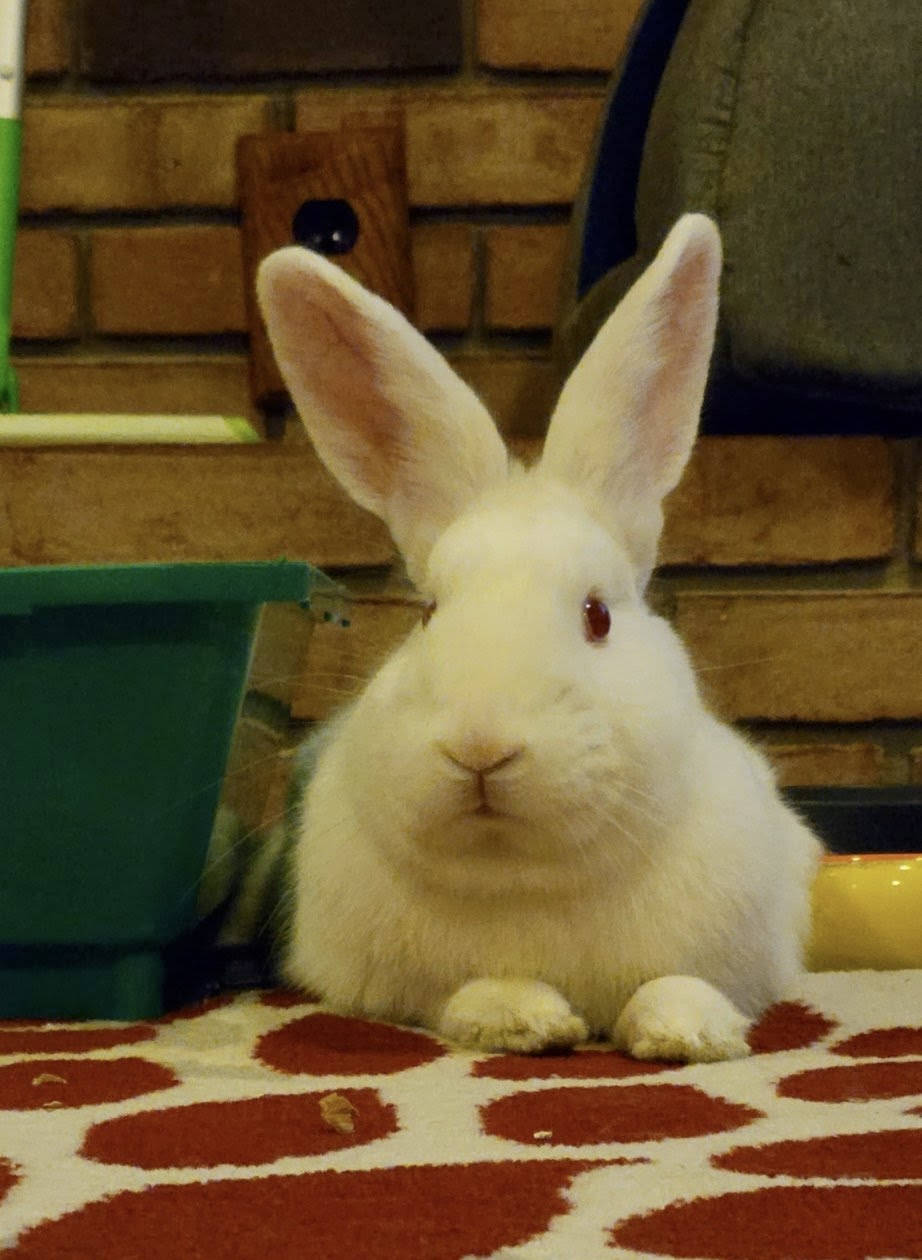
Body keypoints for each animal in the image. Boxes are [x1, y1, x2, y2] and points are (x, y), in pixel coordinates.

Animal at [256, 214, 823, 1063]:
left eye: (598, 616)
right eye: (428, 611)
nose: (481, 747)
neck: (524, 876)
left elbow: (680, 982)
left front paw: (686, 1034)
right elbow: (467, 993)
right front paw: (521, 1019)